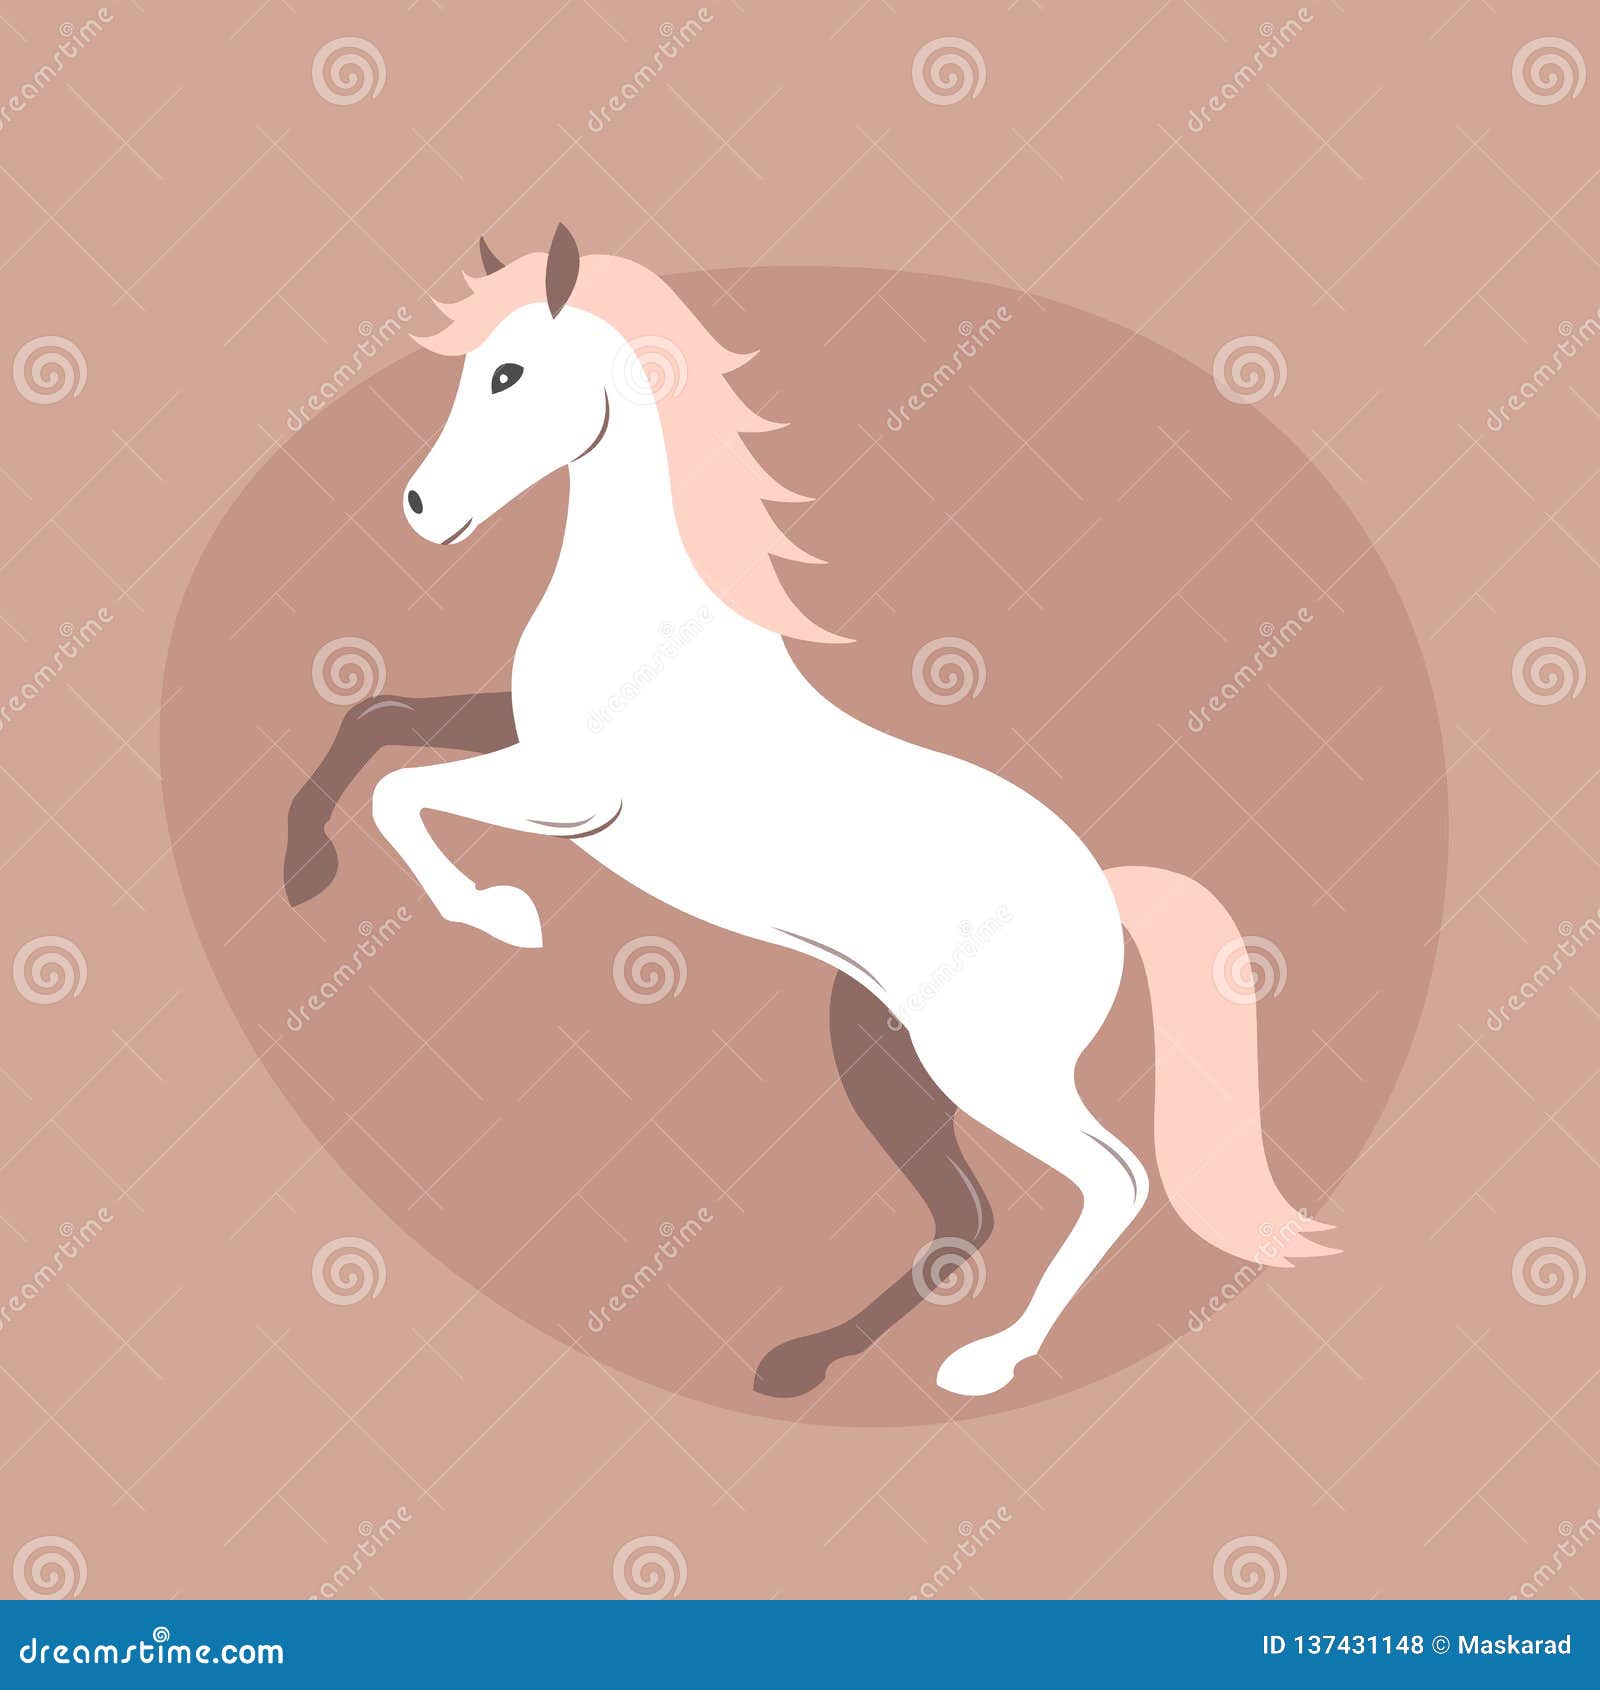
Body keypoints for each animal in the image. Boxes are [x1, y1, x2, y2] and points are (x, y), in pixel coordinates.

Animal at [308, 223, 1334, 1398]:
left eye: (510, 373)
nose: (421, 510)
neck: (653, 631)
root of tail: (1105, 896)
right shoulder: (530, 747)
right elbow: (375, 719)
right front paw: (301, 871)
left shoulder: (570, 799)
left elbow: (403, 792)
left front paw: (496, 914)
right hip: (881, 1041)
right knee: (968, 1211)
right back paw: (804, 1361)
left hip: (989, 1066)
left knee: (1110, 1182)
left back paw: (985, 1364)